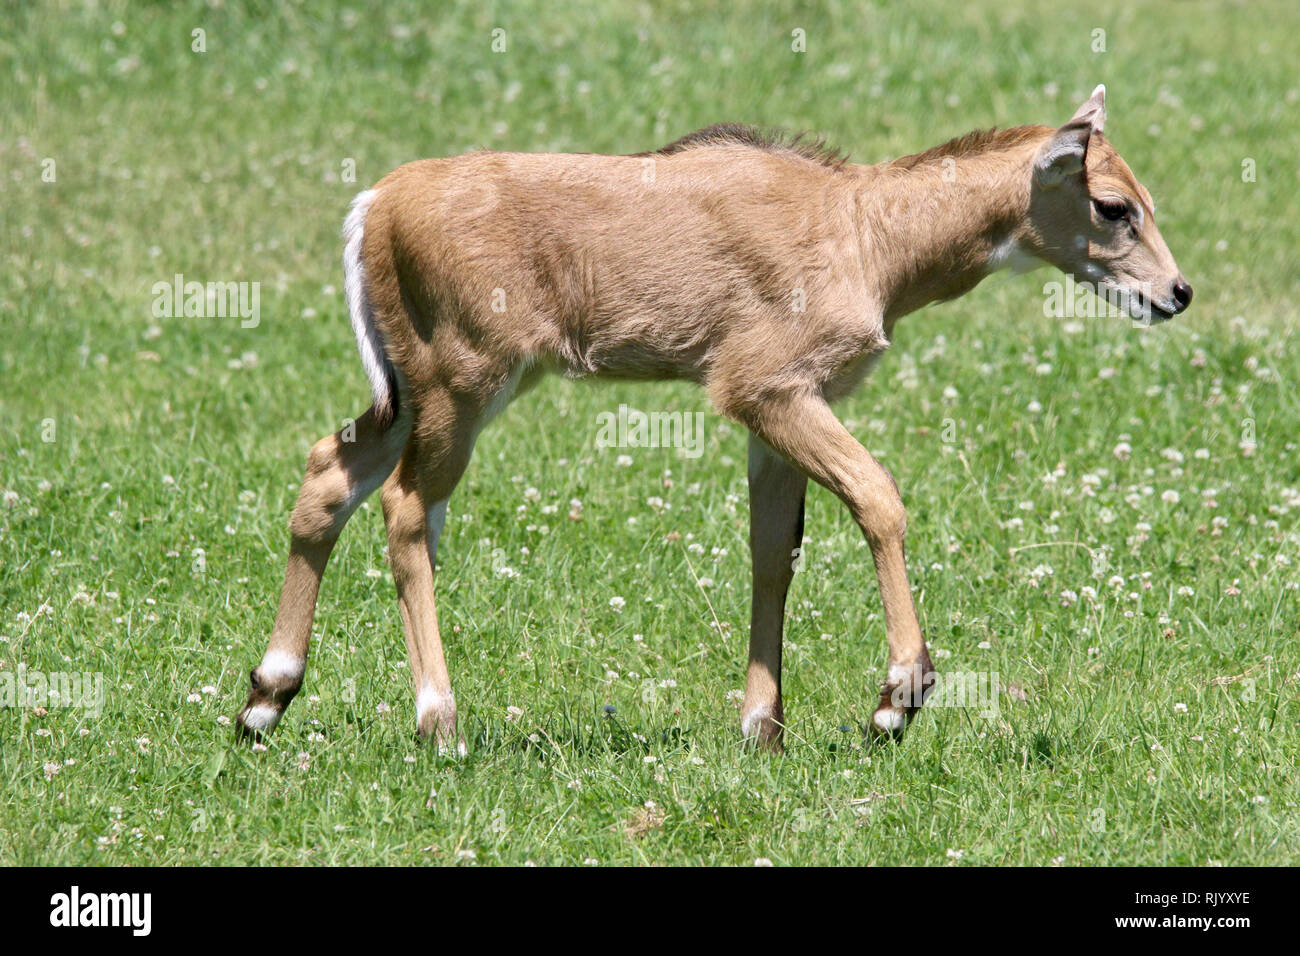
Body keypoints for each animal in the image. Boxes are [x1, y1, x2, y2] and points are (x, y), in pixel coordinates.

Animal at [237, 85, 1192, 752]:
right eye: (1113, 204)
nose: (1176, 293)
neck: (874, 243)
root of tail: (369, 213)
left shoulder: (784, 406)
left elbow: (775, 549)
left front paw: (762, 728)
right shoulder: (759, 382)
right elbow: (879, 497)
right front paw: (896, 699)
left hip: (411, 388)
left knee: (329, 472)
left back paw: (264, 699)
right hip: (462, 377)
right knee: (406, 508)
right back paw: (440, 723)